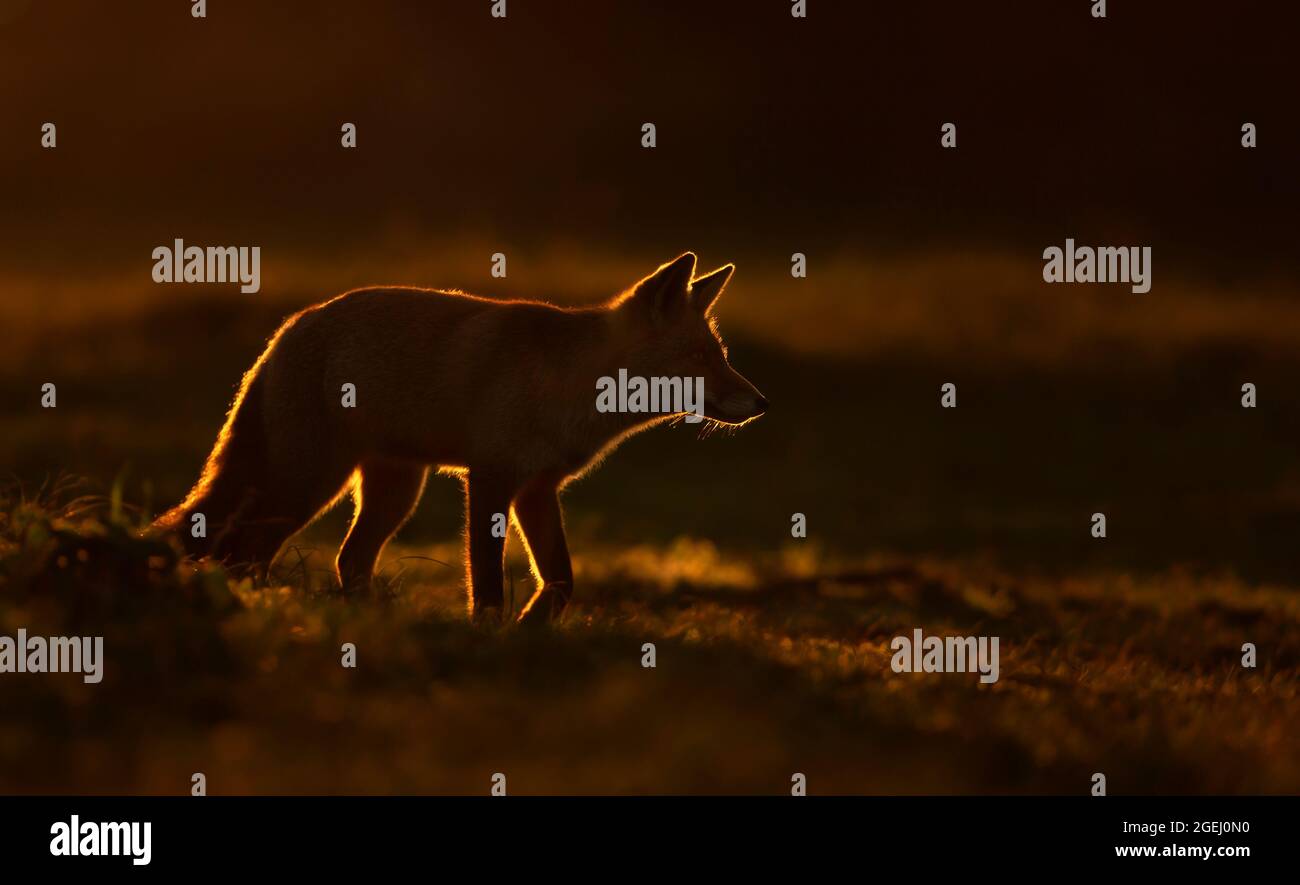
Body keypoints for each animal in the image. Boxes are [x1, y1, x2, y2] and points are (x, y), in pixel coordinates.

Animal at [154, 252, 767, 623]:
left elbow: (562, 579)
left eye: (722, 357)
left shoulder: (538, 488)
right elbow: (488, 578)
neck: (570, 387)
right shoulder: (491, 477)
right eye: (700, 359)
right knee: (242, 549)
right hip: (306, 483)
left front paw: (532, 627)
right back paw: (257, 607)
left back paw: (362, 620)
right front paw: (490, 634)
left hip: (394, 492)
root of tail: (290, 326)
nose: (762, 403)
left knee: (345, 559)